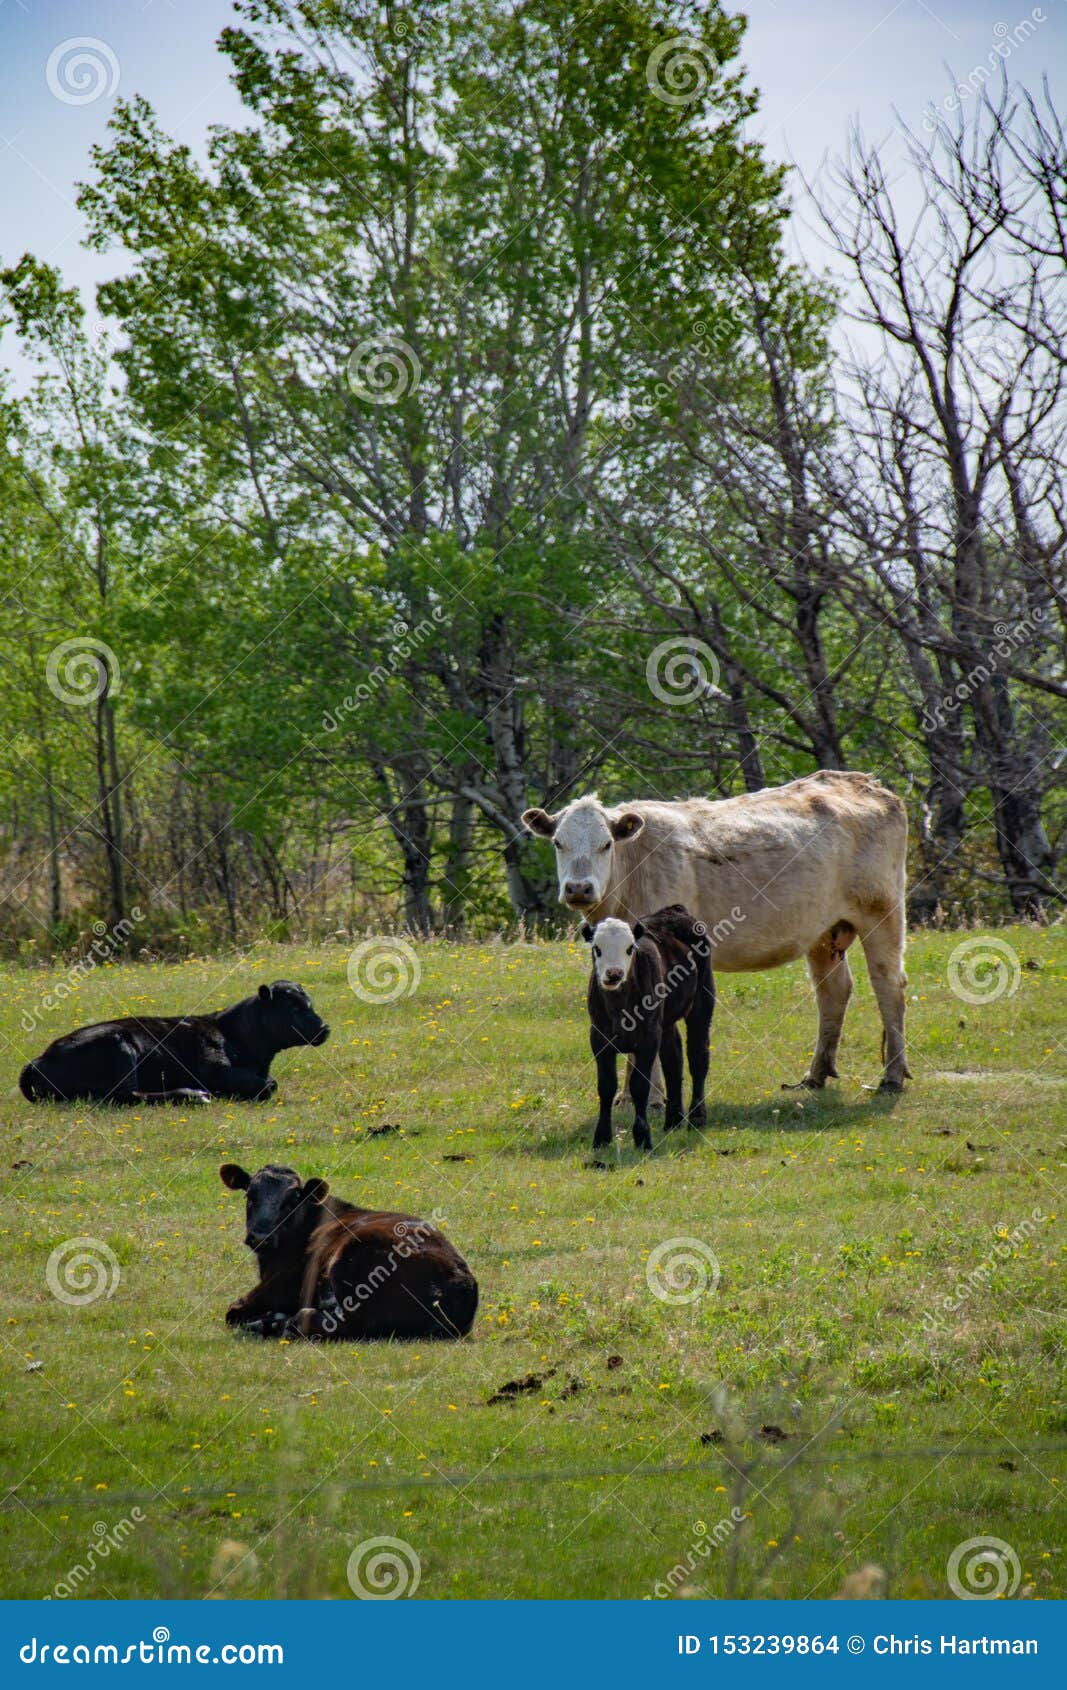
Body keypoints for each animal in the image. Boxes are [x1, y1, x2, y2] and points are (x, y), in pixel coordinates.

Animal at [18, 981, 330, 1105]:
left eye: (310, 1002)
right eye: (293, 1008)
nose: (324, 1028)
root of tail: (38, 1059)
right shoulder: (212, 1067)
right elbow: (269, 1085)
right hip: (119, 1047)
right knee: (127, 1096)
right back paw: (193, 1095)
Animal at [219, 1162, 479, 1340]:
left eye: (292, 1200)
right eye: (249, 1194)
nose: (260, 1236)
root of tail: (461, 1282)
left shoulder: (283, 1284)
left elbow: (233, 1310)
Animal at [524, 770, 910, 1091]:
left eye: (606, 844)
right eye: (558, 843)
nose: (578, 888)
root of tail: (865, 783)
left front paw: (651, 1097)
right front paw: (627, 1099)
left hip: (882, 912)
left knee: (888, 984)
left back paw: (892, 1076)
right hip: (822, 931)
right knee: (833, 991)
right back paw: (815, 1075)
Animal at [583, 903, 714, 1152]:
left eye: (629, 948)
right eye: (597, 948)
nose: (614, 974)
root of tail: (674, 910)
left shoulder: (648, 1039)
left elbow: (640, 1085)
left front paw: (643, 1137)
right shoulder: (598, 1037)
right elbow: (606, 1085)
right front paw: (601, 1138)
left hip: (702, 998)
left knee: (697, 1057)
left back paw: (697, 1118)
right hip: (665, 1022)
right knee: (673, 1059)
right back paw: (673, 1120)